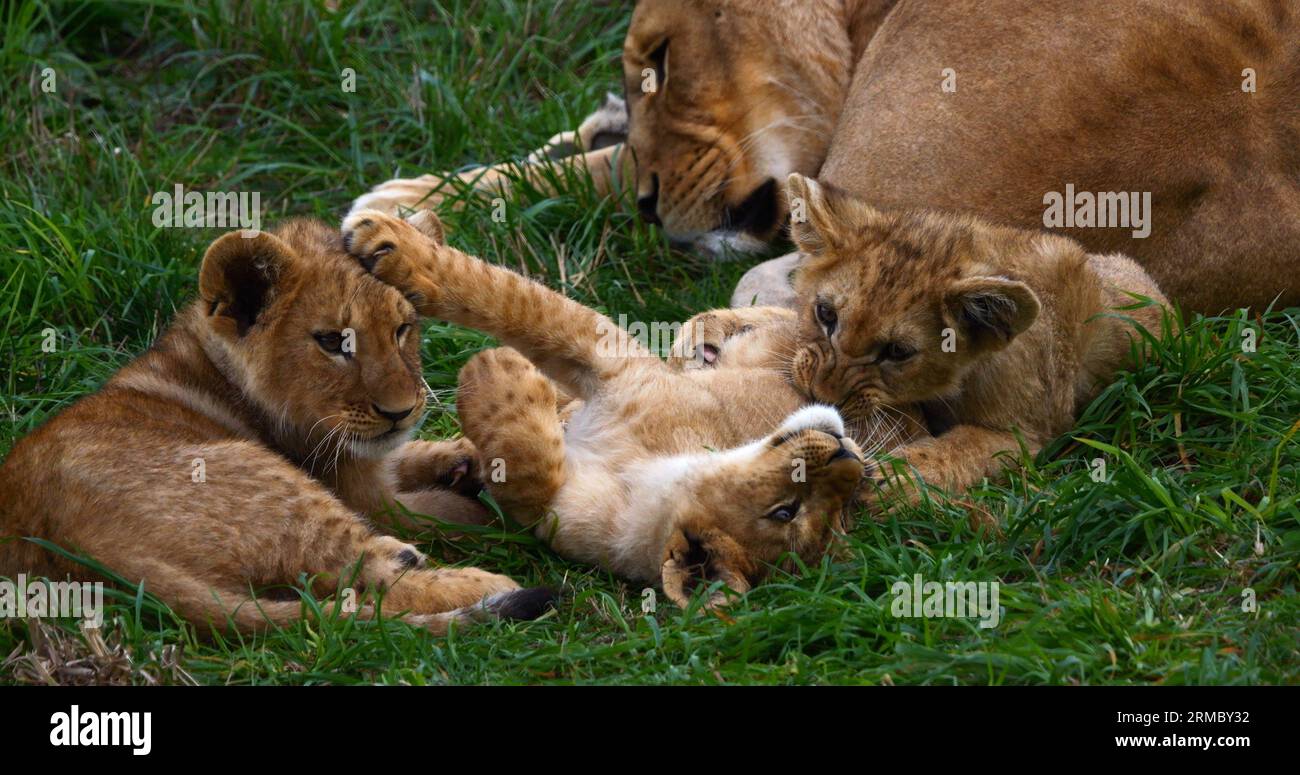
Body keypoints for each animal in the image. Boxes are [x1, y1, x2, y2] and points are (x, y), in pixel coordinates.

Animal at [0, 219, 554, 634]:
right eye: (332, 342)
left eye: (402, 329)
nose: (400, 411)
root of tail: (77, 550)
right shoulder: (367, 496)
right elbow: (426, 510)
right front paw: (475, 499)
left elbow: (408, 454)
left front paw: (467, 458)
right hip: (269, 481)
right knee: (369, 580)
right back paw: (482, 582)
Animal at [341, 209, 866, 608]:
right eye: (788, 511)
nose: (849, 455)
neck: (631, 476)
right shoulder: (615, 363)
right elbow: (509, 298)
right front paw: (385, 239)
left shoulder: (552, 520)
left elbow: (527, 481)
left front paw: (495, 372)